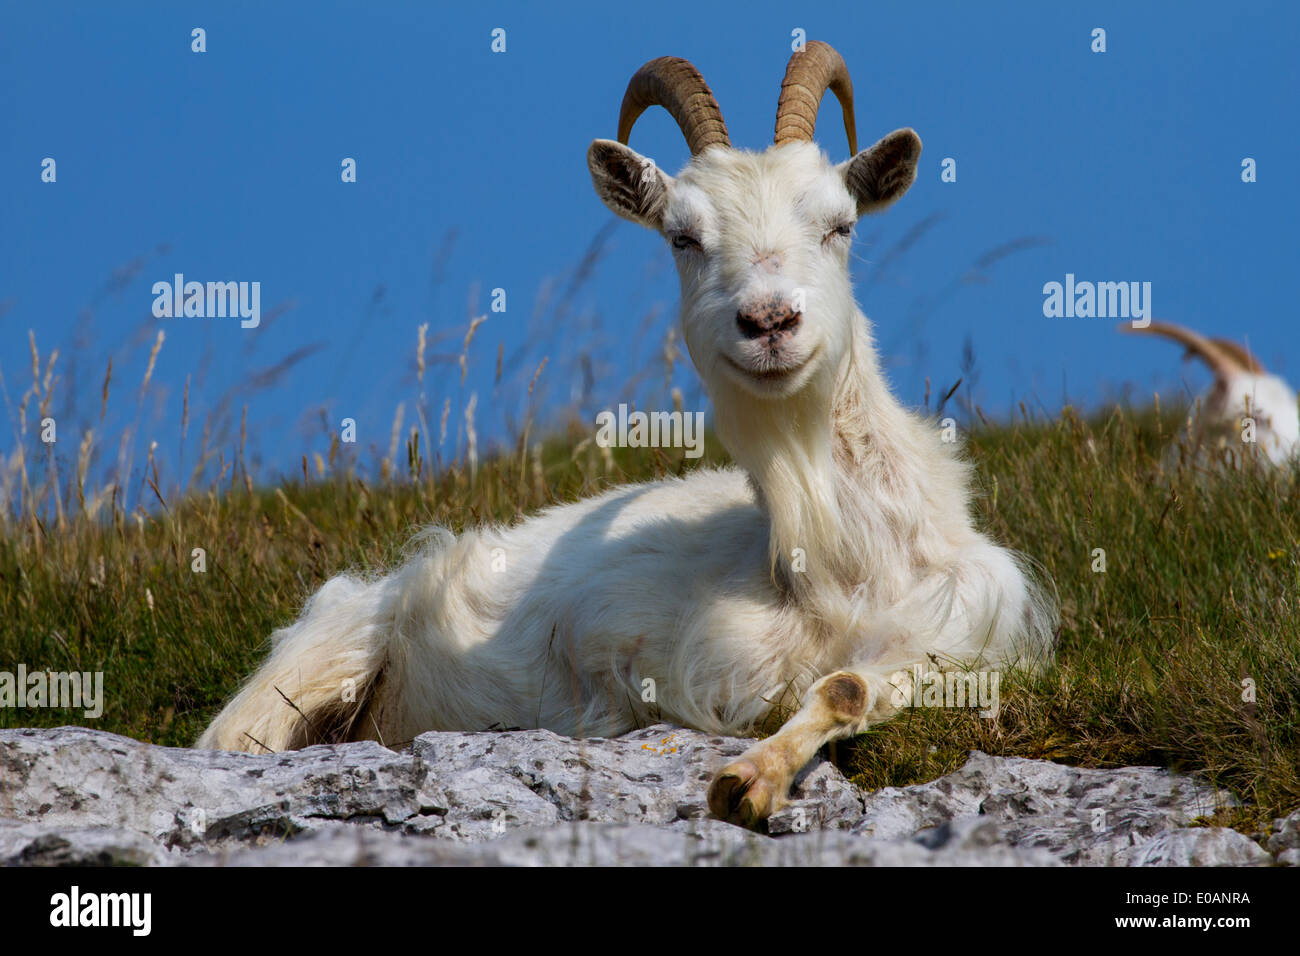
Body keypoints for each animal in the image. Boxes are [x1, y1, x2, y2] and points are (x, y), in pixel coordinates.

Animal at [198, 43, 1057, 828]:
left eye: (840, 225)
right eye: (682, 237)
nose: (769, 321)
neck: (834, 565)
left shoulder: (961, 636)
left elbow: (845, 685)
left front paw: (750, 779)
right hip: (326, 653)